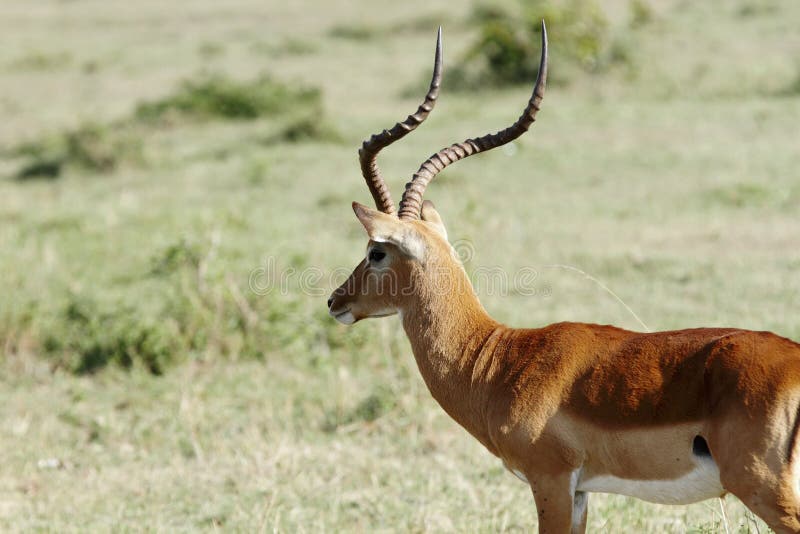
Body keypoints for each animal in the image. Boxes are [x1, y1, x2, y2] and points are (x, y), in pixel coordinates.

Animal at [326, 23, 800, 533]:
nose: (336, 301)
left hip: (767, 490)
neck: (497, 360)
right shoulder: (581, 493)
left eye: (375, 251)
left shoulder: (550, 479)